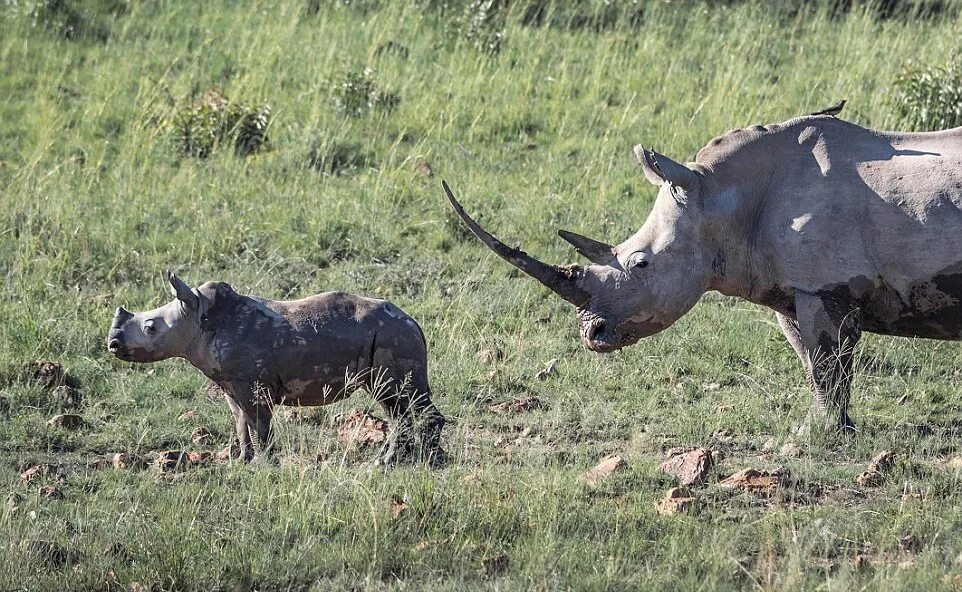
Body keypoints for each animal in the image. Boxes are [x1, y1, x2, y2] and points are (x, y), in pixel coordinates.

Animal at [107, 270, 444, 464]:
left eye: (150, 327)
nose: (112, 343)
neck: (199, 318)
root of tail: (414, 322)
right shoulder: (231, 384)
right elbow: (241, 423)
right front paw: (242, 463)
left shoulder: (252, 383)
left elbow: (259, 424)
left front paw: (264, 465)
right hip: (391, 336)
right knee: (395, 405)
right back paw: (401, 461)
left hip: (394, 336)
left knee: (399, 398)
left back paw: (419, 462)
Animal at [446, 114, 960, 430]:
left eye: (641, 264)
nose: (591, 334)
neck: (721, 199)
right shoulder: (796, 288)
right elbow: (816, 365)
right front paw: (827, 430)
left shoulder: (822, 286)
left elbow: (827, 365)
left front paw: (816, 438)